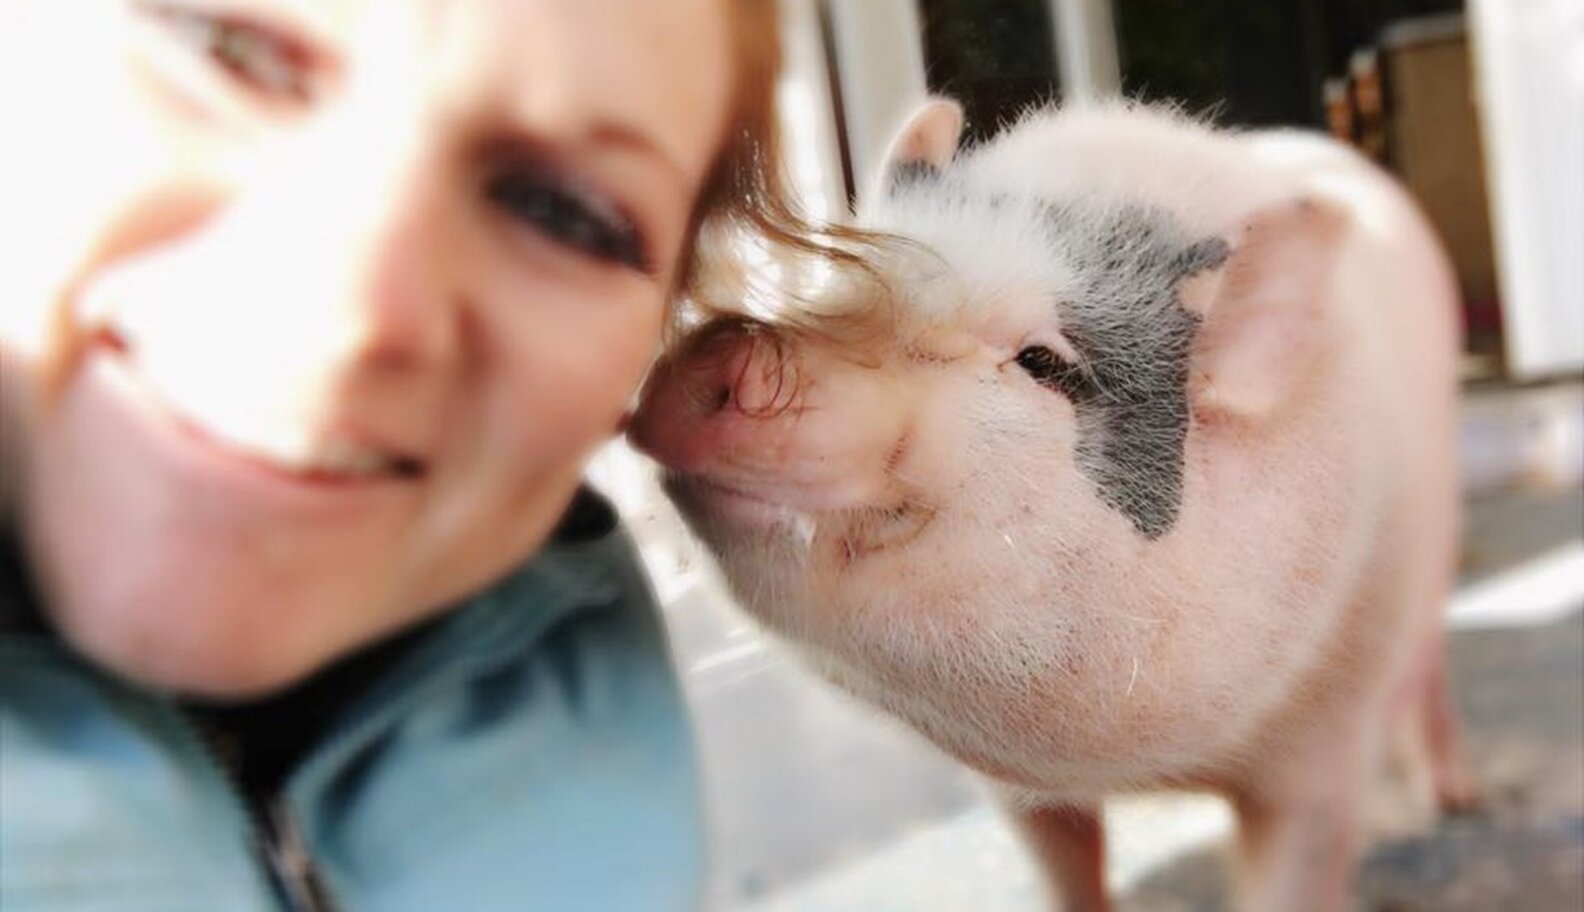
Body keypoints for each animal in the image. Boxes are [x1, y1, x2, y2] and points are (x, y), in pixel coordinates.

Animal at [630, 99, 1476, 912]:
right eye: (836, 290)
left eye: (1040, 361)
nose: (718, 347)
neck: (1158, 766)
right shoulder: (1020, 798)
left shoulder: (1322, 751)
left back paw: (1451, 803)